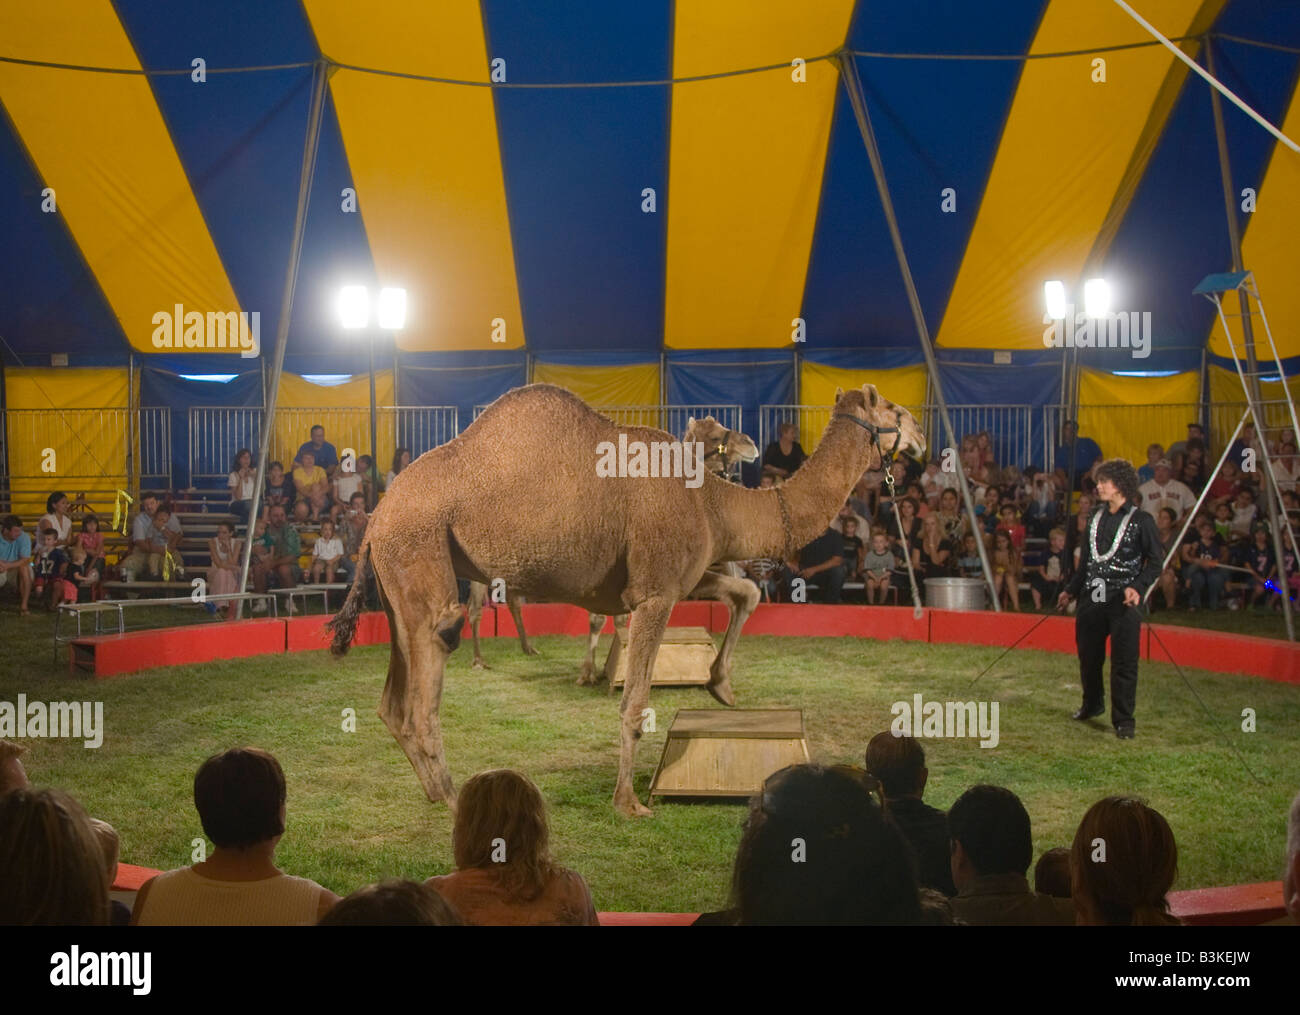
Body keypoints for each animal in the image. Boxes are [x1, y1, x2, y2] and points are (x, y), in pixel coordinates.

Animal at [328, 383, 924, 817]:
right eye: (893, 408)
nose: (919, 438)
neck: (713, 501)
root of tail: (377, 516)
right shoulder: (656, 592)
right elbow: (635, 700)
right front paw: (628, 801)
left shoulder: (684, 576)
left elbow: (748, 591)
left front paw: (721, 685)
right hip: (421, 553)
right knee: (434, 660)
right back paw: (454, 798)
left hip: (397, 589)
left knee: (393, 701)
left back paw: (436, 790)